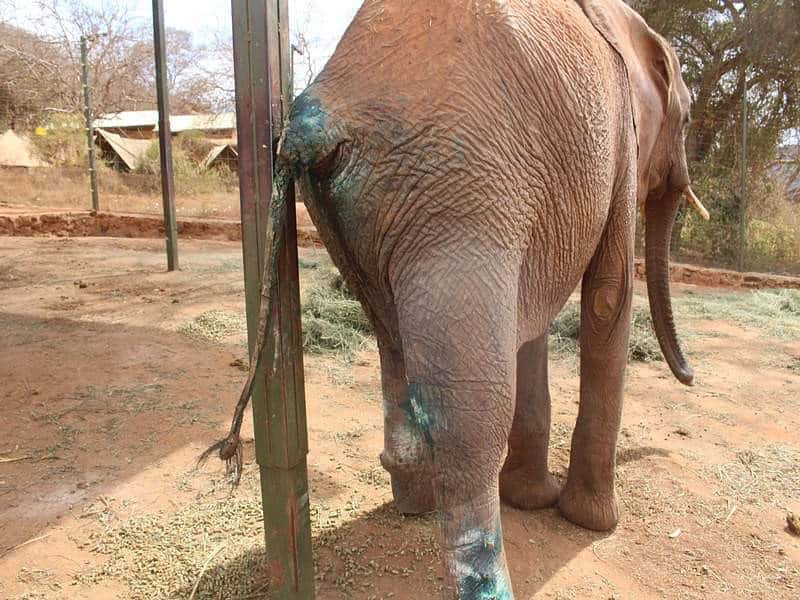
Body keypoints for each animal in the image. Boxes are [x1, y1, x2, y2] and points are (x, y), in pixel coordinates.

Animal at [209, 0, 710, 597]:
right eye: (688, 119)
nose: (693, 377)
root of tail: (309, 120)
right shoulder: (619, 149)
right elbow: (609, 297)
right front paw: (594, 523)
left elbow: (532, 321)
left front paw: (533, 501)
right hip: (454, 197)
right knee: (469, 426)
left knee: (395, 346)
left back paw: (413, 505)